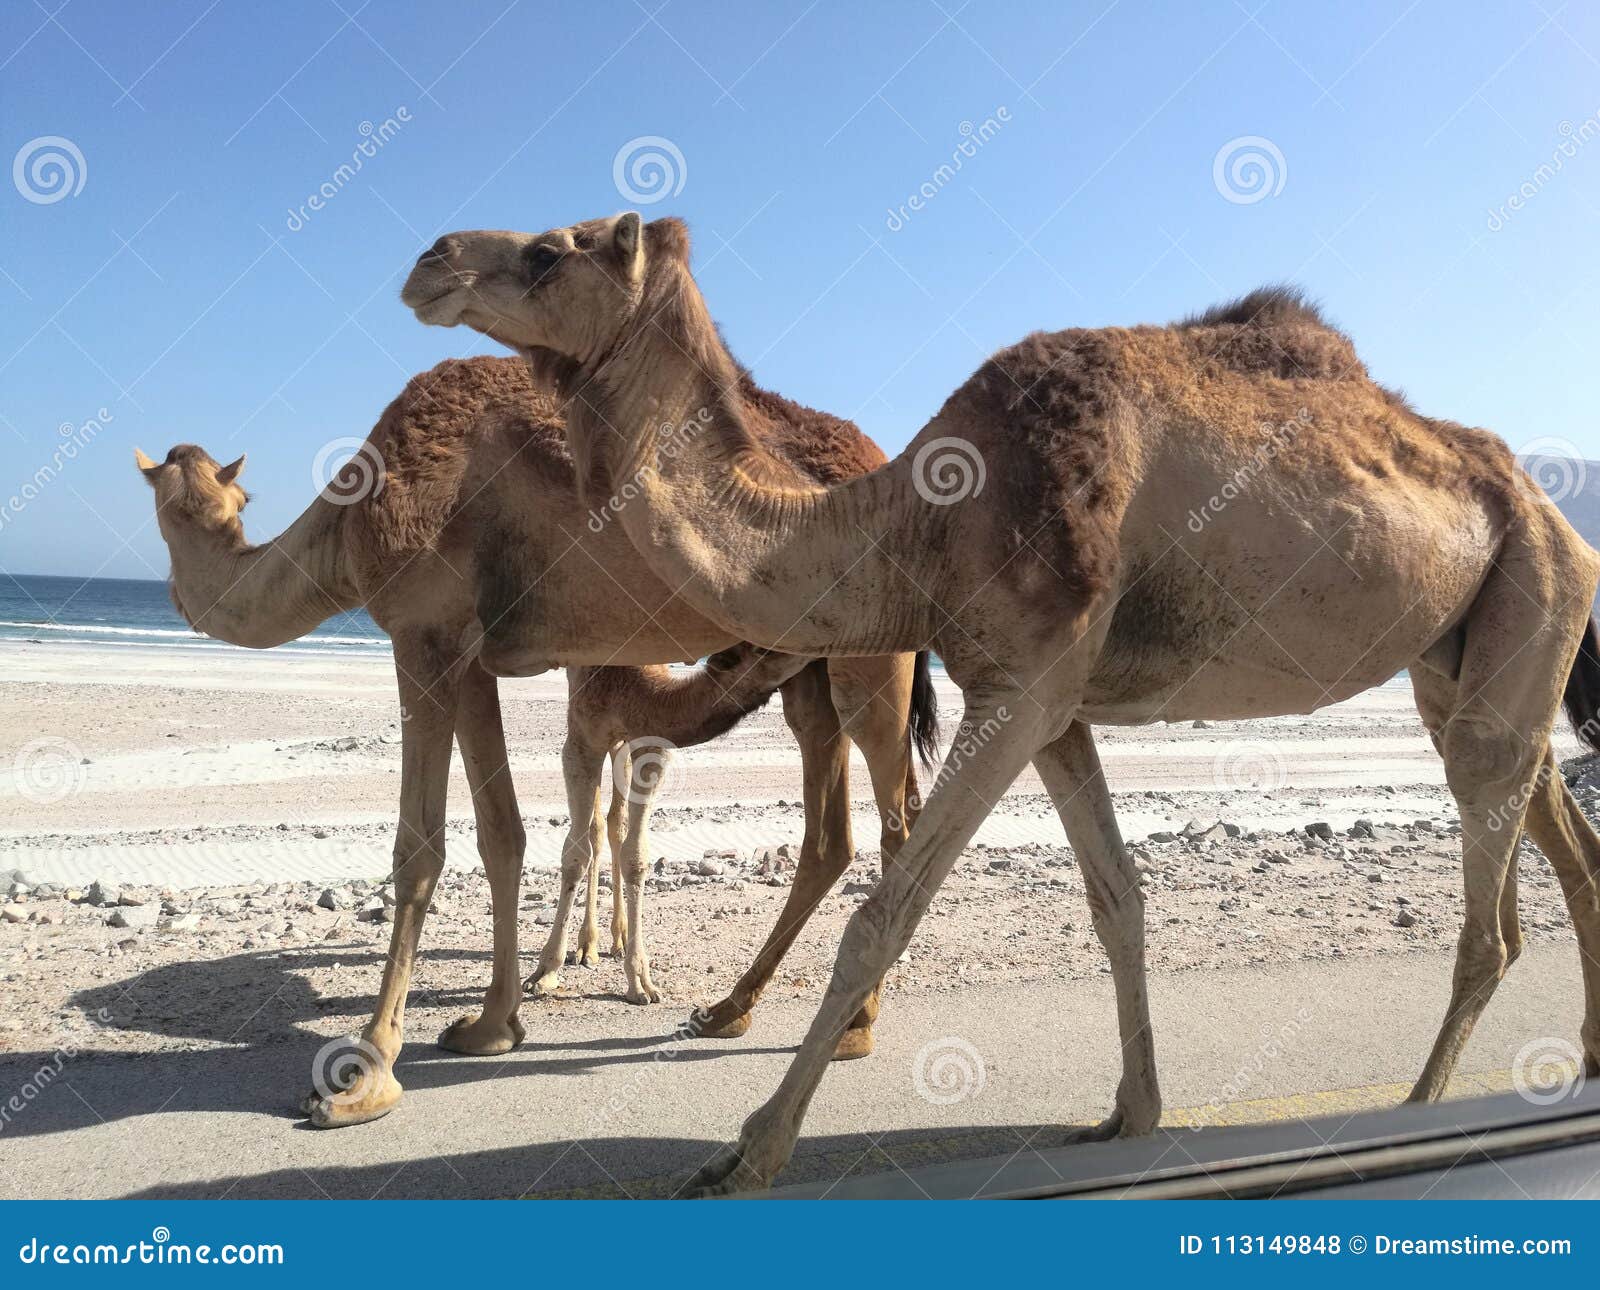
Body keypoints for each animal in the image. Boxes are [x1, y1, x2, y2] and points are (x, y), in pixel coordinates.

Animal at [136, 354, 934, 1130]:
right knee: (832, 833)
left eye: (178, 507)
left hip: (871, 656)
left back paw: (856, 1027)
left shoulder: (422, 633)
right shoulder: (469, 656)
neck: (348, 527)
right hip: (812, 667)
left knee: (900, 826)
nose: (177, 591)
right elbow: (502, 834)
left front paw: (365, 1075)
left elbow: (419, 847)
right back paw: (729, 1011)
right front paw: (493, 1026)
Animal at [402, 212, 1600, 1194]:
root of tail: (1555, 512)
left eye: (549, 250)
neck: (919, 523)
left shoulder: (1023, 684)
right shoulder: (1056, 704)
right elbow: (1117, 899)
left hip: (1529, 596)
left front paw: (749, 1150)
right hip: (1463, 654)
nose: (429, 259)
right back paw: (1576, 1059)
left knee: (1490, 914)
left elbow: (883, 917)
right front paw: (1130, 1115)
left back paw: (1418, 1115)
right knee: (1552, 825)